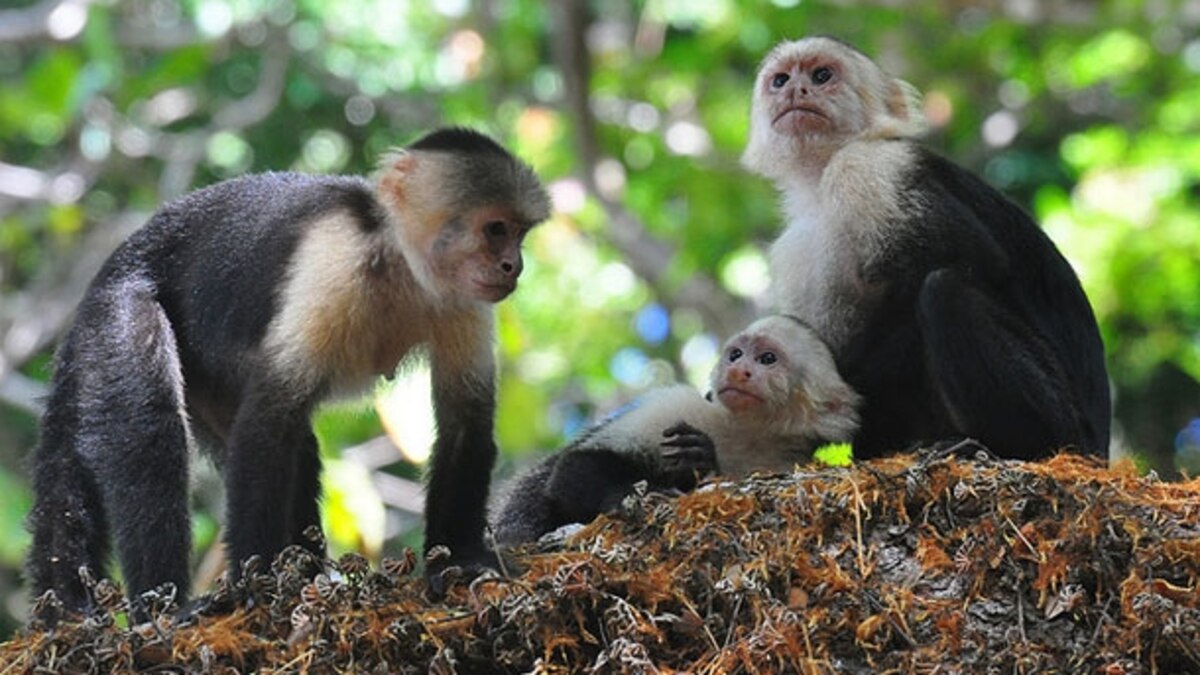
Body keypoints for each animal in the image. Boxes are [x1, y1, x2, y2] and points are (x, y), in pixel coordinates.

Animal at [25, 127, 551, 613]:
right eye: (495, 230)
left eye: (519, 234)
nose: (514, 266)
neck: (399, 262)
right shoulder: (335, 263)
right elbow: (267, 422)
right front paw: (254, 587)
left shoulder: (464, 301)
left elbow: (465, 423)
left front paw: (460, 558)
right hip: (116, 312)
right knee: (152, 436)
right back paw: (165, 606)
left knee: (295, 445)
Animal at [491, 314, 860, 546]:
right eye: (736, 354)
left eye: (767, 359)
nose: (737, 371)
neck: (750, 433)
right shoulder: (682, 406)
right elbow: (574, 468)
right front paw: (630, 496)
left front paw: (700, 461)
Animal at [741, 36, 1110, 460]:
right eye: (780, 79)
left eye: (821, 76)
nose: (794, 90)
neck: (819, 179)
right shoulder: (795, 246)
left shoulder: (871, 167)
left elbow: (977, 261)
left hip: (1067, 425)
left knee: (944, 291)